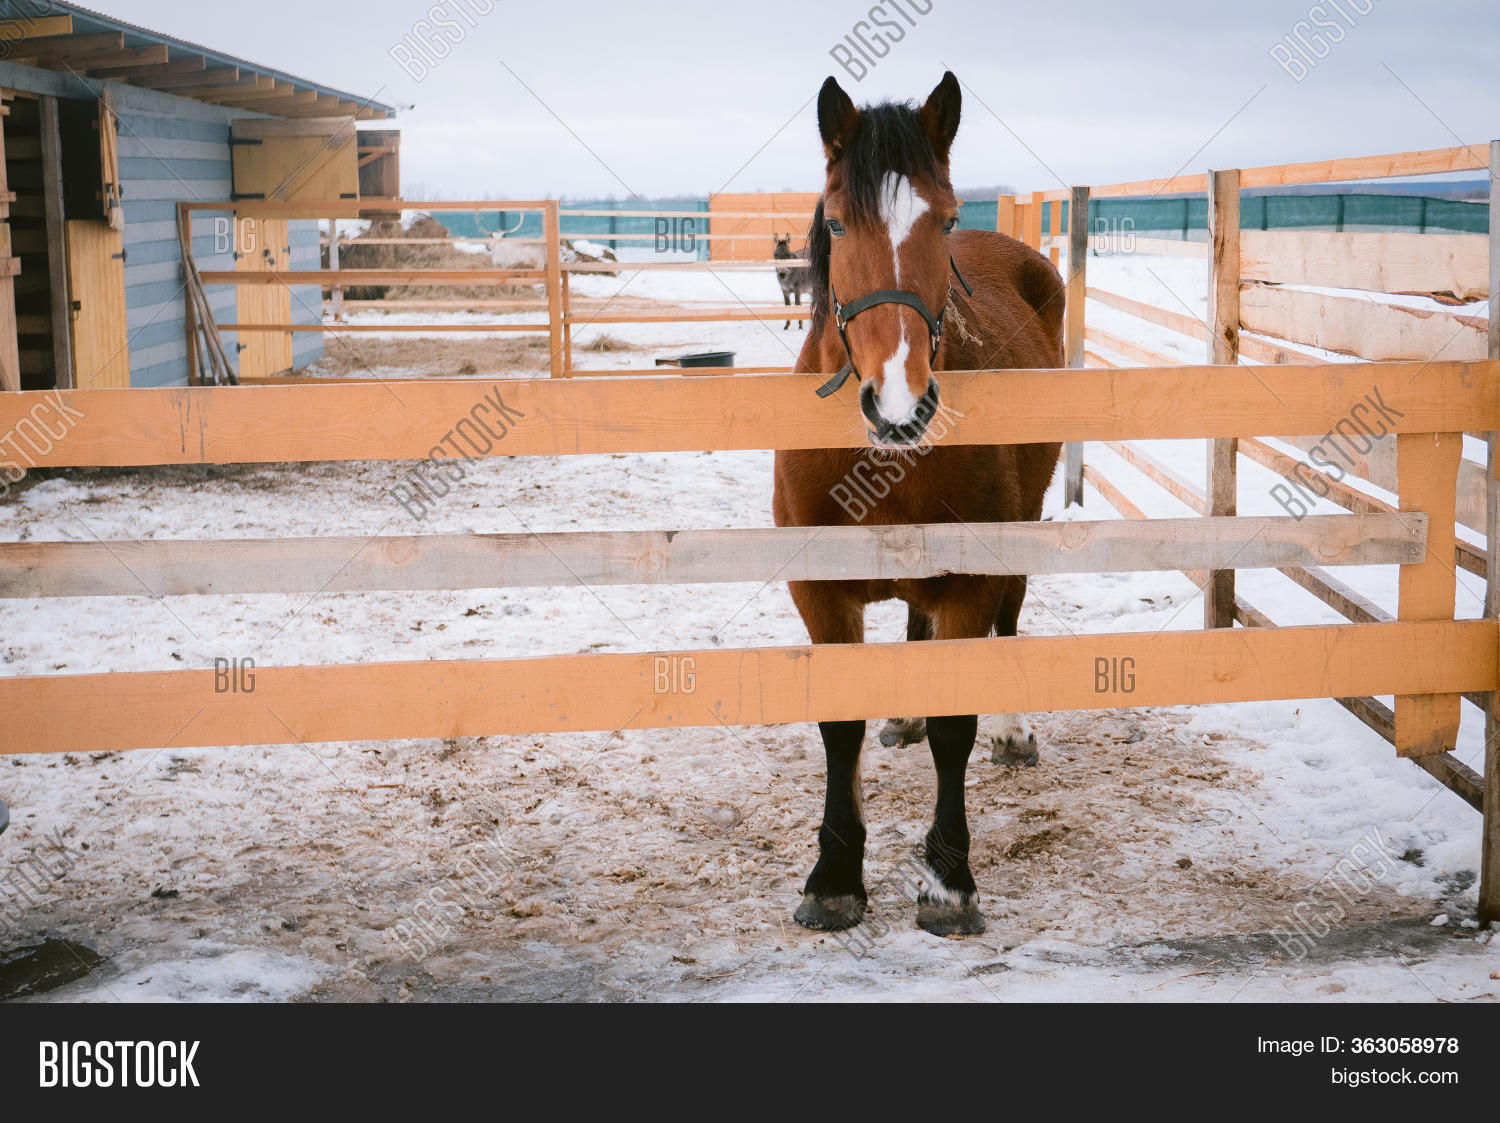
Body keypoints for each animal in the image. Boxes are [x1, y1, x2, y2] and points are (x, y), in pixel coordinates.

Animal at [771, 72, 1065, 936]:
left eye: (948, 218)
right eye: (838, 220)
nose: (899, 400)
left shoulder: (969, 582)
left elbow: (955, 724)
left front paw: (948, 878)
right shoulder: (821, 589)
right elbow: (841, 724)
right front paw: (835, 876)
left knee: (1009, 618)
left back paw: (1014, 732)